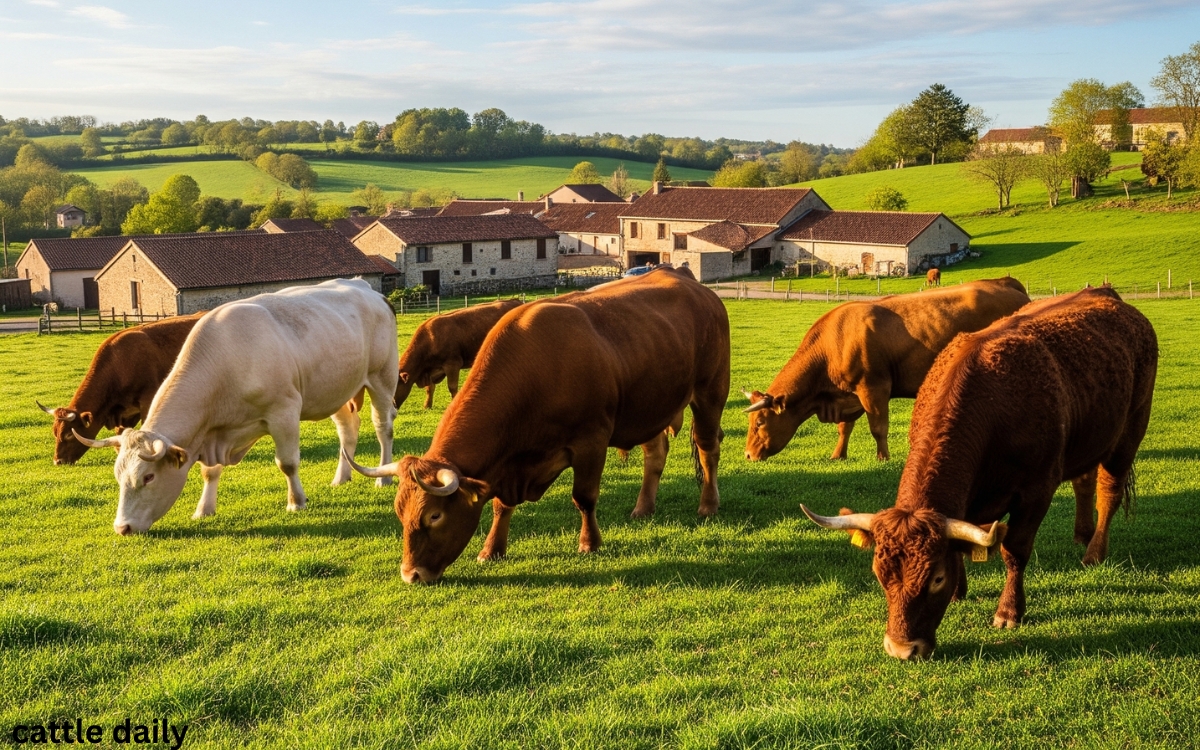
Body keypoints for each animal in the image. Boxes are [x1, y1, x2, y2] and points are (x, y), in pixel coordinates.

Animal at [74, 279, 399, 534]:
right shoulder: (211, 432)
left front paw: (296, 502)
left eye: (148, 477)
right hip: (337, 391)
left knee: (383, 428)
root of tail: (366, 287)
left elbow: (287, 463)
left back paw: (382, 477)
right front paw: (204, 509)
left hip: (382, 378)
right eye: (118, 476)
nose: (122, 528)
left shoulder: (284, 412)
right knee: (348, 430)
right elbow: (210, 472)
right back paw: (341, 478)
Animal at [345, 267, 730, 583]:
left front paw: (589, 543)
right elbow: (501, 505)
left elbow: (584, 497)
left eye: (435, 516)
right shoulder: (507, 467)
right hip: (649, 408)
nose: (411, 575)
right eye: (400, 514)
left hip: (710, 392)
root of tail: (694, 285)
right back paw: (642, 508)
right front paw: (491, 549)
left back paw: (709, 505)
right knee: (656, 453)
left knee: (708, 449)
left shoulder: (591, 442)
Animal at [744, 277, 1029, 462]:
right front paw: (838, 455)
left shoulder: (873, 388)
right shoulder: (848, 396)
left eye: (759, 422)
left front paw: (883, 458)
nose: (747, 454)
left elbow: (878, 428)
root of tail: (1005, 282)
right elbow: (845, 428)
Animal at [801, 286, 1158, 660]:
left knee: (1109, 493)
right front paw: (960, 592)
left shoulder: (1036, 491)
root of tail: (1103, 292)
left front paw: (1008, 611)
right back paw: (1082, 534)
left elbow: (1014, 549)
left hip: (1129, 432)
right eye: (880, 575)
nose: (901, 649)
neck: (990, 402)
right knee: (1083, 483)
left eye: (936, 578)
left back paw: (1094, 553)